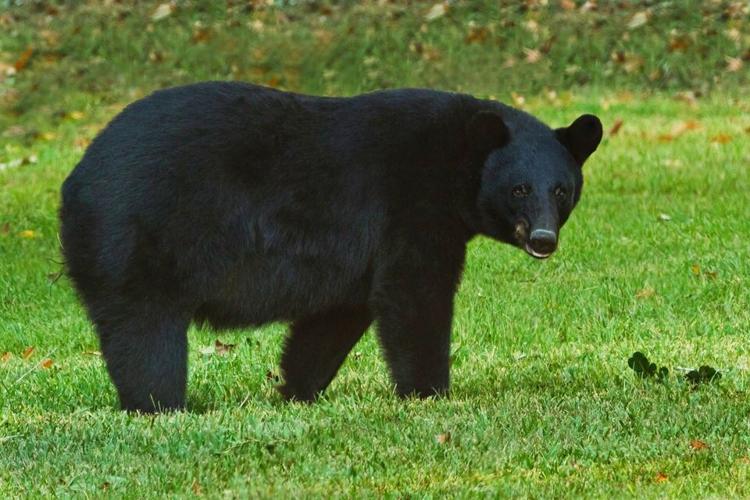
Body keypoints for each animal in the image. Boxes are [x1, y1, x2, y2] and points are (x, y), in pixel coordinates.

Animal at [59, 82, 602, 413]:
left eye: (561, 190)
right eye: (519, 190)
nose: (543, 238)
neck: (457, 161)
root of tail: (77, 176)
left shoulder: (356, 256)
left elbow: (336, 317)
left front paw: (296, 390)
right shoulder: (410, 207)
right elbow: (415, 295)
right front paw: (429, 393)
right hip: (137, 238)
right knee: (145, 333)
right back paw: (160, 404)